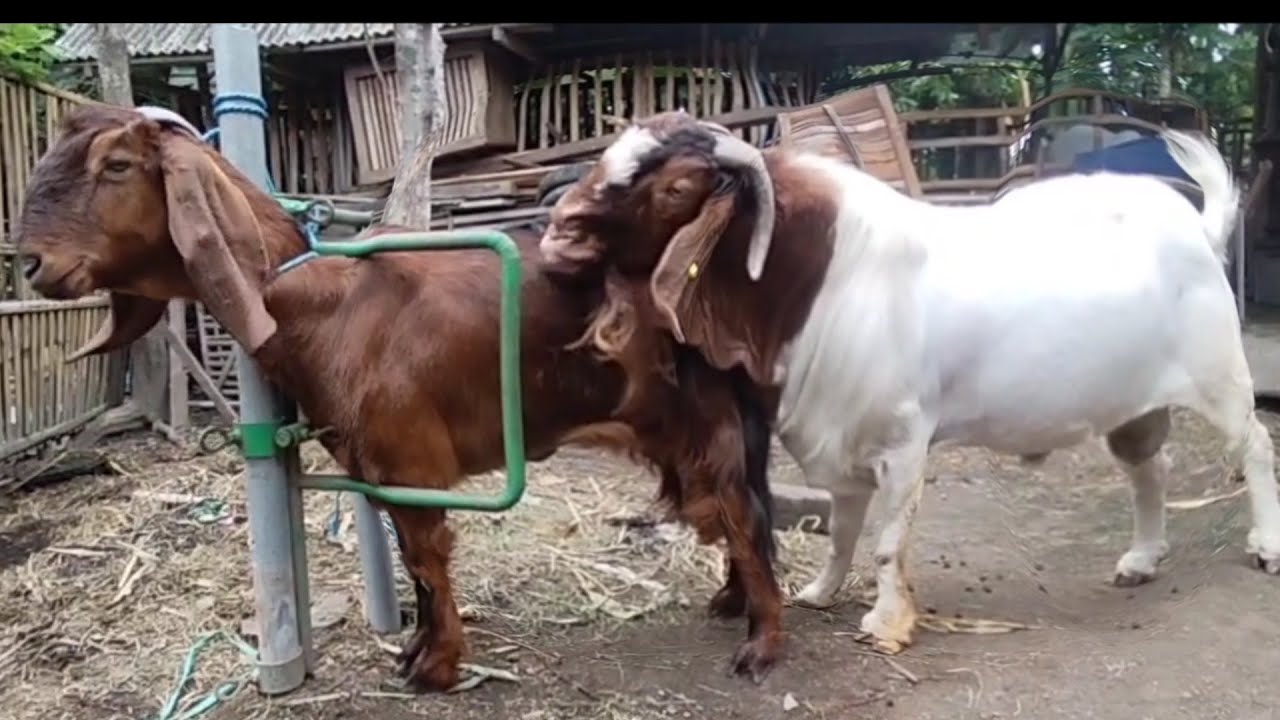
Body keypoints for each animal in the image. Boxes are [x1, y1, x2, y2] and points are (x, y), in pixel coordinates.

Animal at [14, 104, 786, 689]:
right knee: (731, 511)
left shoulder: (410, 462)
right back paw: (732, 602)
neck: (323, 302)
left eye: (116, 166)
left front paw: (436, 667)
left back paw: (761, 645)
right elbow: (411, 565)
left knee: (742, 515)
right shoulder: (377, 470)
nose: (30, 263)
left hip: (708, 420)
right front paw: (415, 650)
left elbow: (426, 560)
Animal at [538, 109, 1280, 655]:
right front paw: (820, 592)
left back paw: (1264, 547)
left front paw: (886, 625)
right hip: (1133, 406)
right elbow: (841, 531)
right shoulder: (838, 440)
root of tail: (1198, 225)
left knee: (1255, 449)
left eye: (675, 187)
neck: (828, 276)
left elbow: (889, 542)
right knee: (1151, 469)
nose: (557, 233)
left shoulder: (902, 442)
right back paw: (1141, 560)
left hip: (1220, 375)